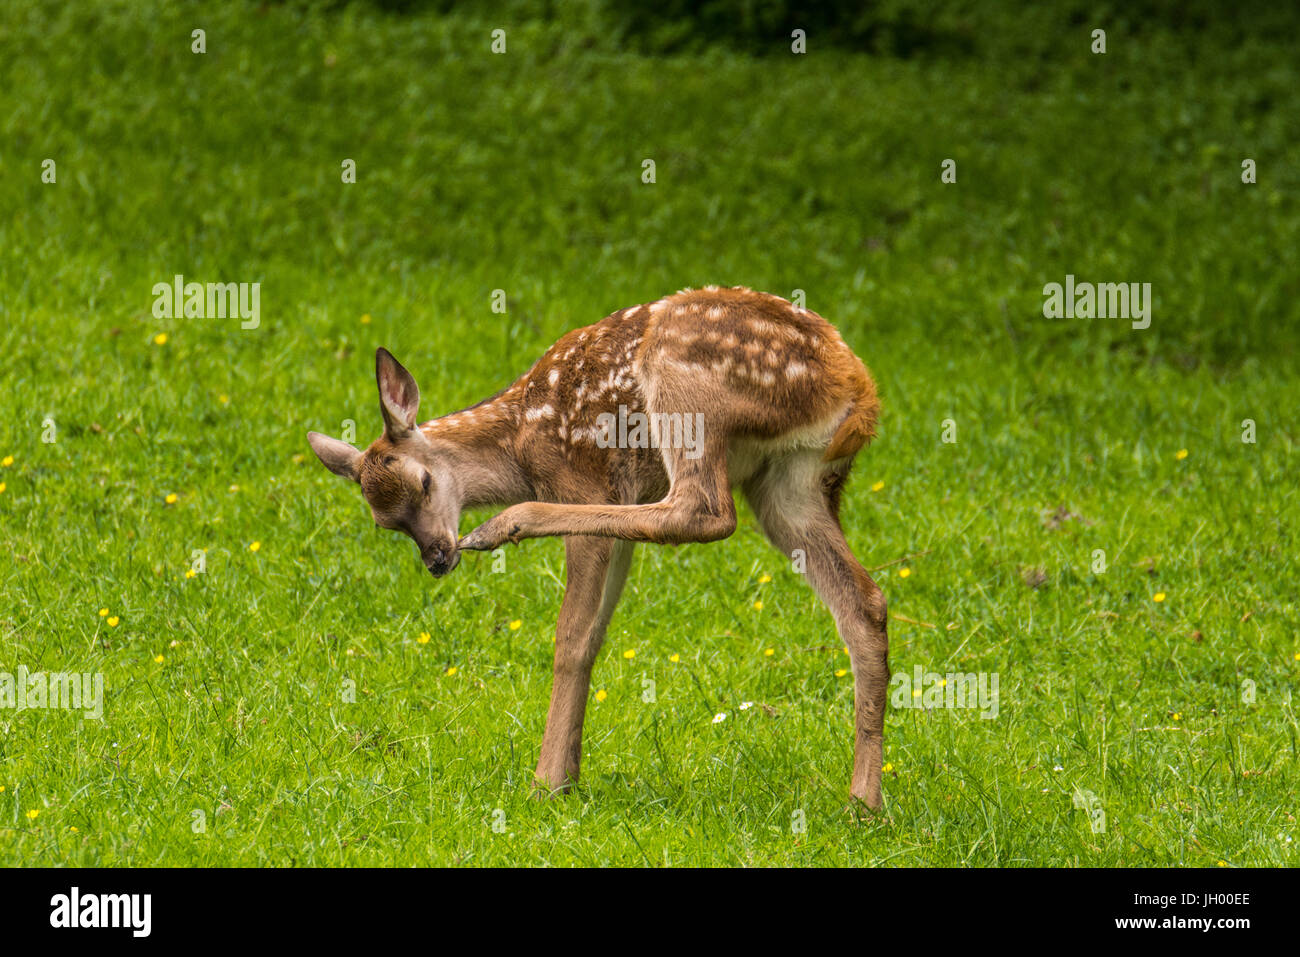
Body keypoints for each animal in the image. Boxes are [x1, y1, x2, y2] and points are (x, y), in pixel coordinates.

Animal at [307, 286, 889, 808]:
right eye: (386, 522)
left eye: (425, 482)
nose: (436, 559)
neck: (518, 445)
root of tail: (858, 386)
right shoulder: (619, 524)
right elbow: (592, 636)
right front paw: (570, 773)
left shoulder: (583, 484)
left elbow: (569, 637)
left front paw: (546, 783)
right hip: (790, 484)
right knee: (865, 602)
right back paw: (864, 802)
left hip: (683, 380)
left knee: (704, 508)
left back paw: (505, 524)